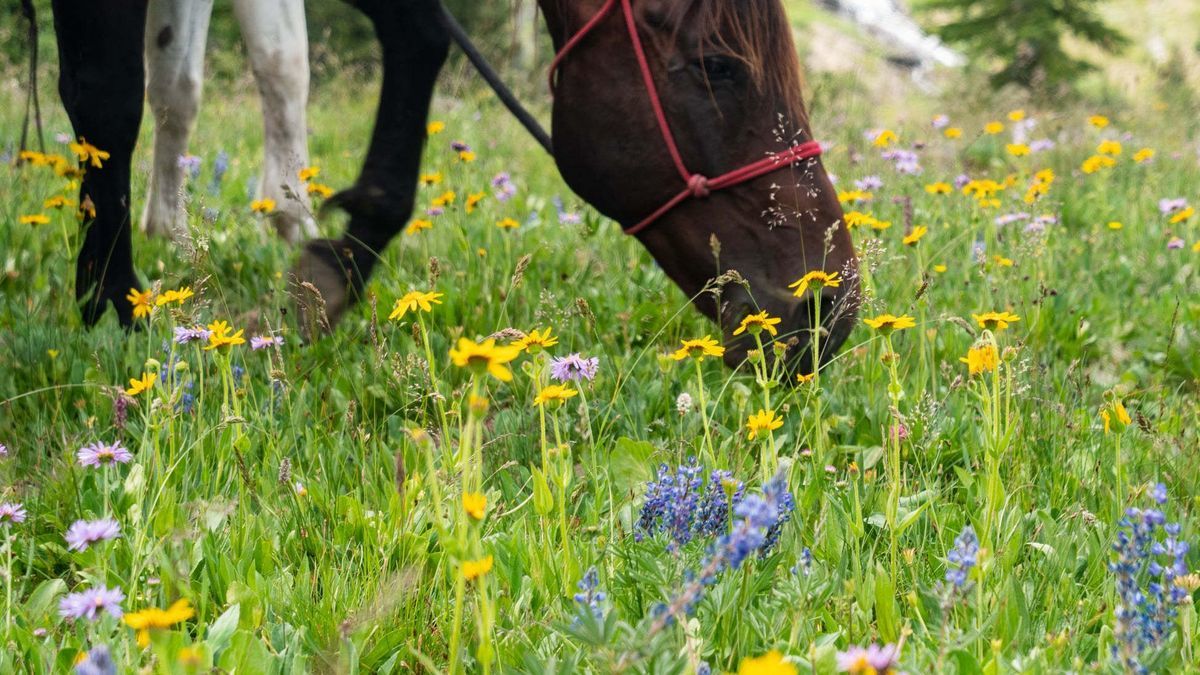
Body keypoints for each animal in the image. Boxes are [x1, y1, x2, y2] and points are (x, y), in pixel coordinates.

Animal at [47, 0, 859, 373]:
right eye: (720, 65)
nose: (834, 305)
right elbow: (108, 98)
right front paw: (113, 306)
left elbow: (408, 37)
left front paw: (341, 256)